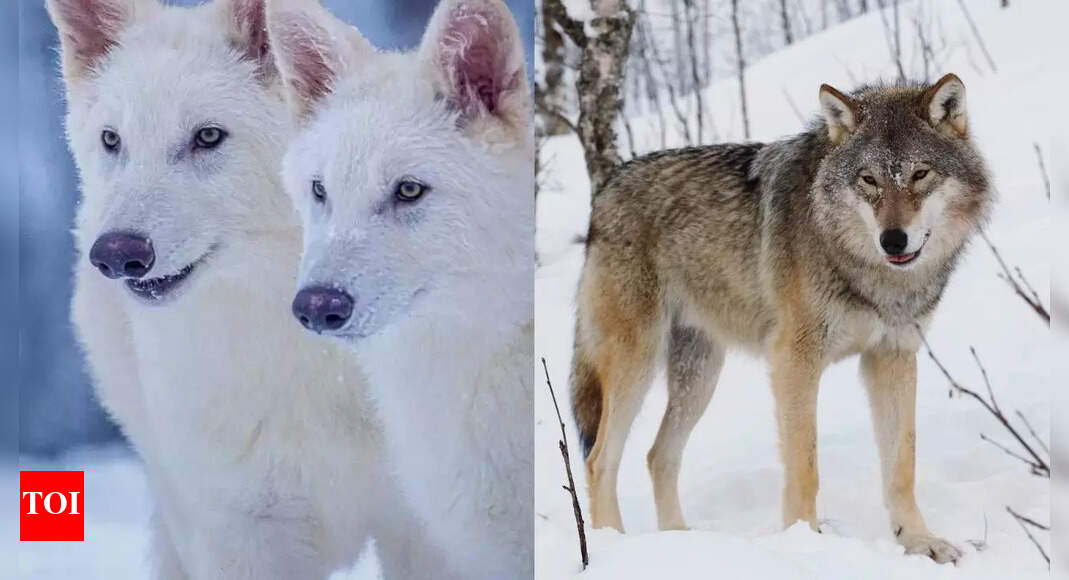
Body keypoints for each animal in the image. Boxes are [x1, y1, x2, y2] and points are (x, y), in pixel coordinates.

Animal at [571, 74, 991, 564]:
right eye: (868, 180)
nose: (893, 239)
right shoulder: (794, 360)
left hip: (700, 377)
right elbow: (804, 464)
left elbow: (902, 464)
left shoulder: (893, 356)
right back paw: (610, 547)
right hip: (636, 365)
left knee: (659, 456)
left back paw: (679, 541)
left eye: (920, 174)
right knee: (600, 459)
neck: (868, 272)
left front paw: (919, 542)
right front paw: (805, 542)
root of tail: (605, 189)